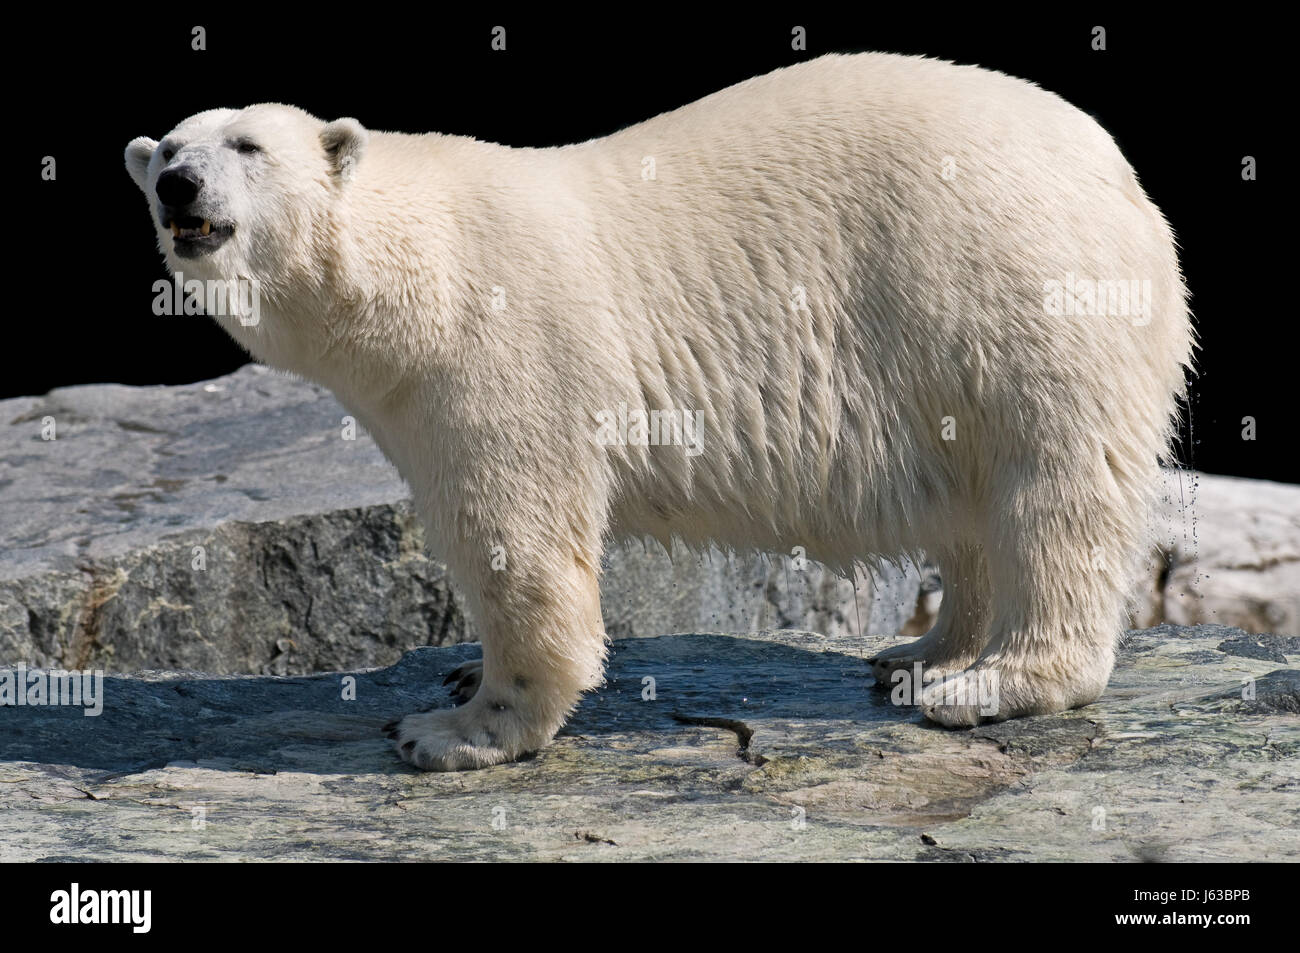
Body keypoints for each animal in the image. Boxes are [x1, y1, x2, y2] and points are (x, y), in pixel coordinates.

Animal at [124, 52, 1192, 771]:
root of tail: (1121, 175)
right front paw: (458, 684)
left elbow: (518, 540)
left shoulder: (502, 354)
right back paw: (918, 654)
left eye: (248, 145)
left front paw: (458, 728)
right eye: (167, 148)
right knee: (970, 499)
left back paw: (991, 683)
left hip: (1013, 287)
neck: (416, 269)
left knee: (1052, 489)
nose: (178, 183)